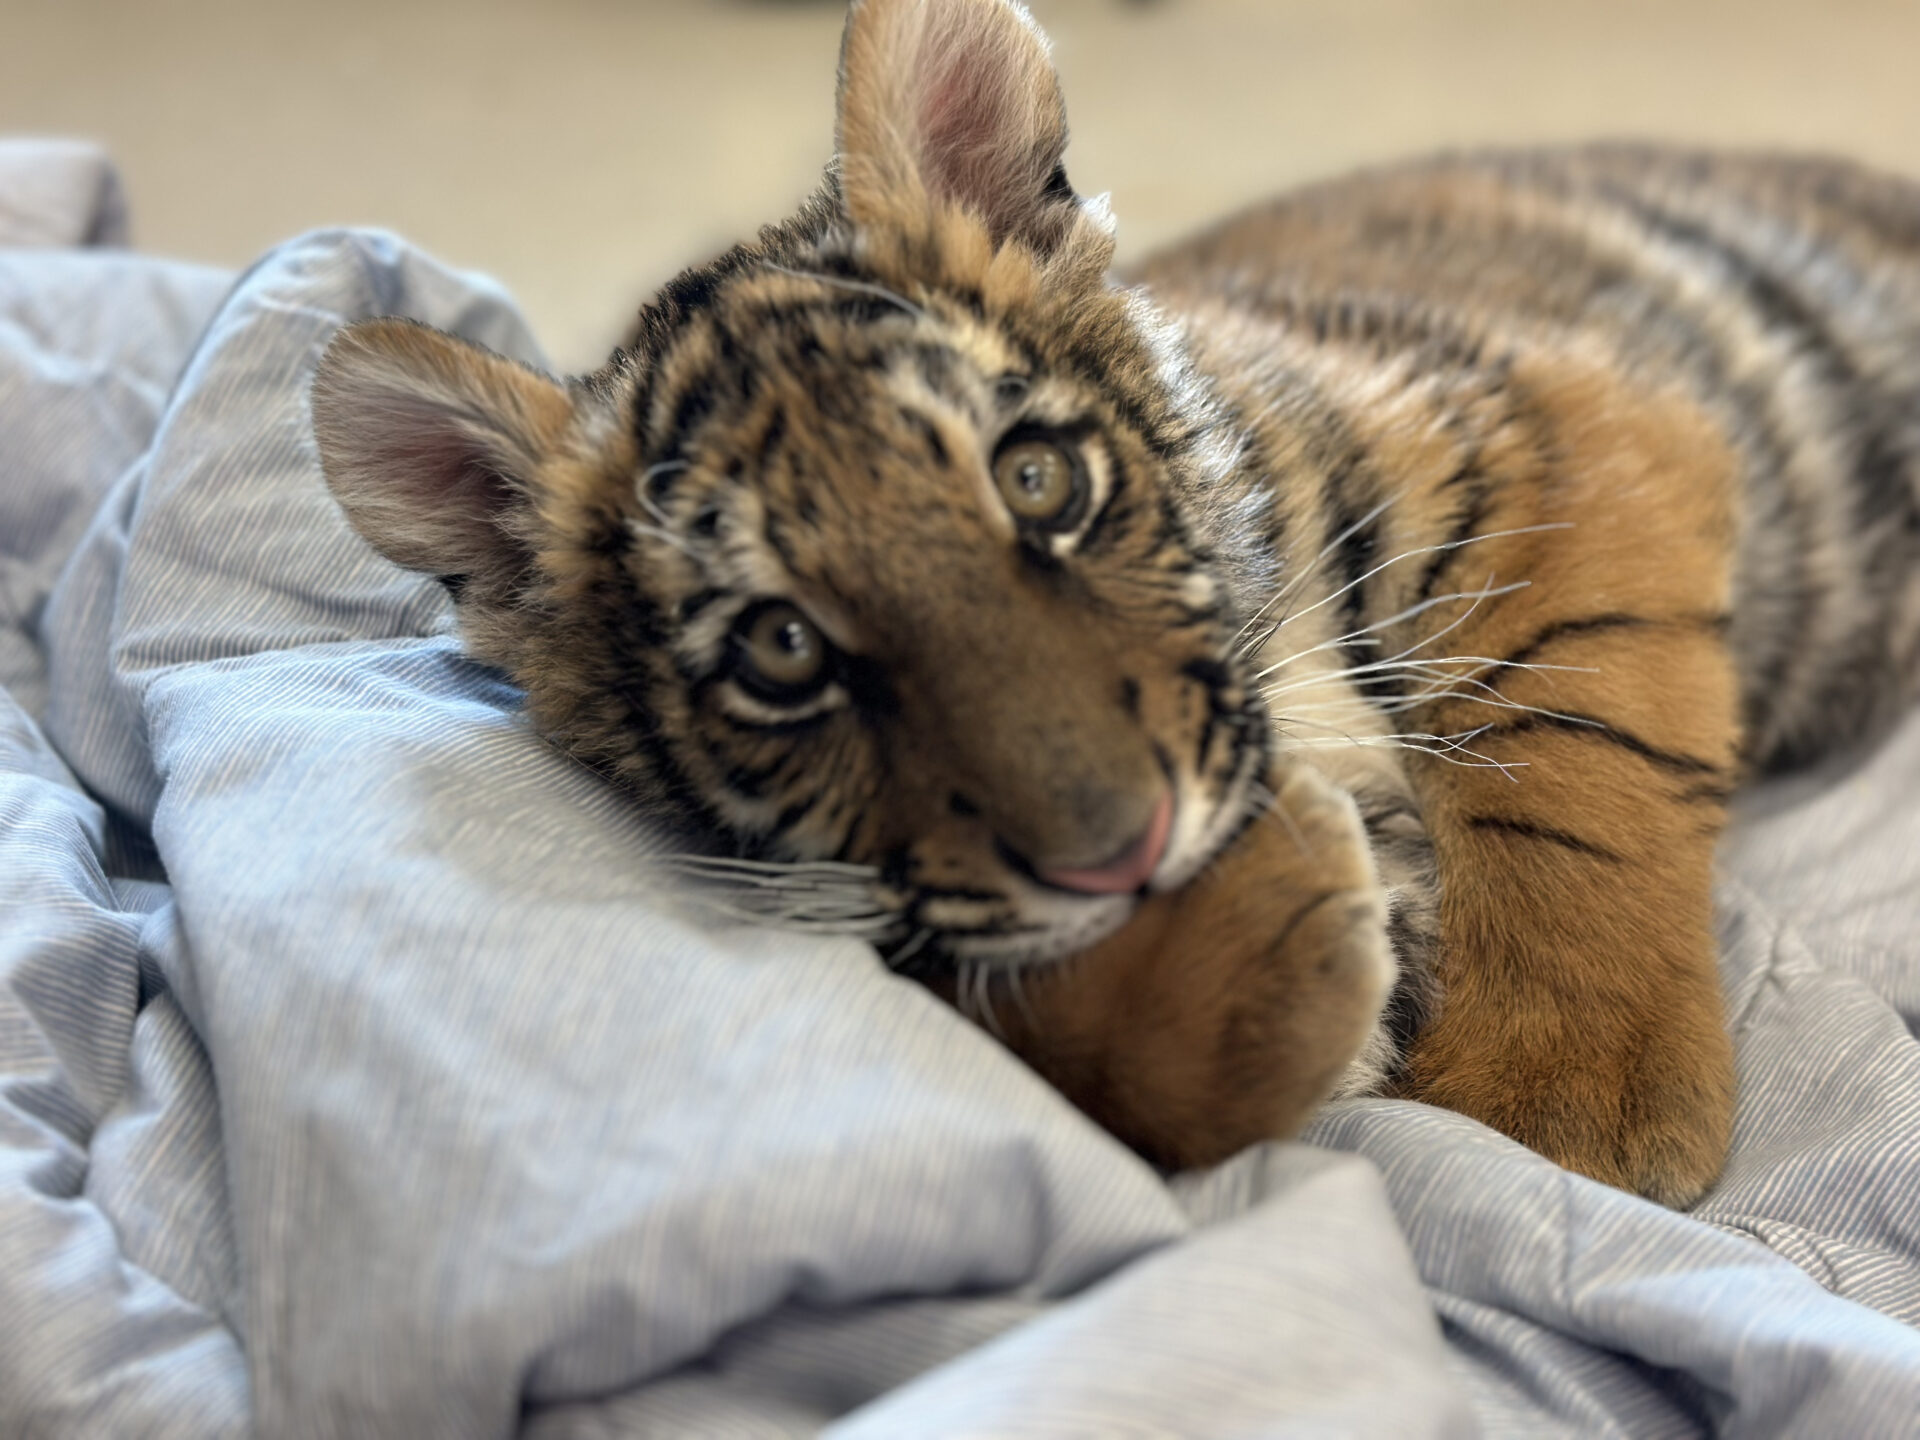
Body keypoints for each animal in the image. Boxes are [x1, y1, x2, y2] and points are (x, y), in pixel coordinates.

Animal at [309, 0, 1920, 1208]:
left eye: (1038, 480)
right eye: (782, 651)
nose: (1123, 855)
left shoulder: (1556, 421)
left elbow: (1569, 739)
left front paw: (1563, 1100)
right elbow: (1083, 1066)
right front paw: (1252, 949)